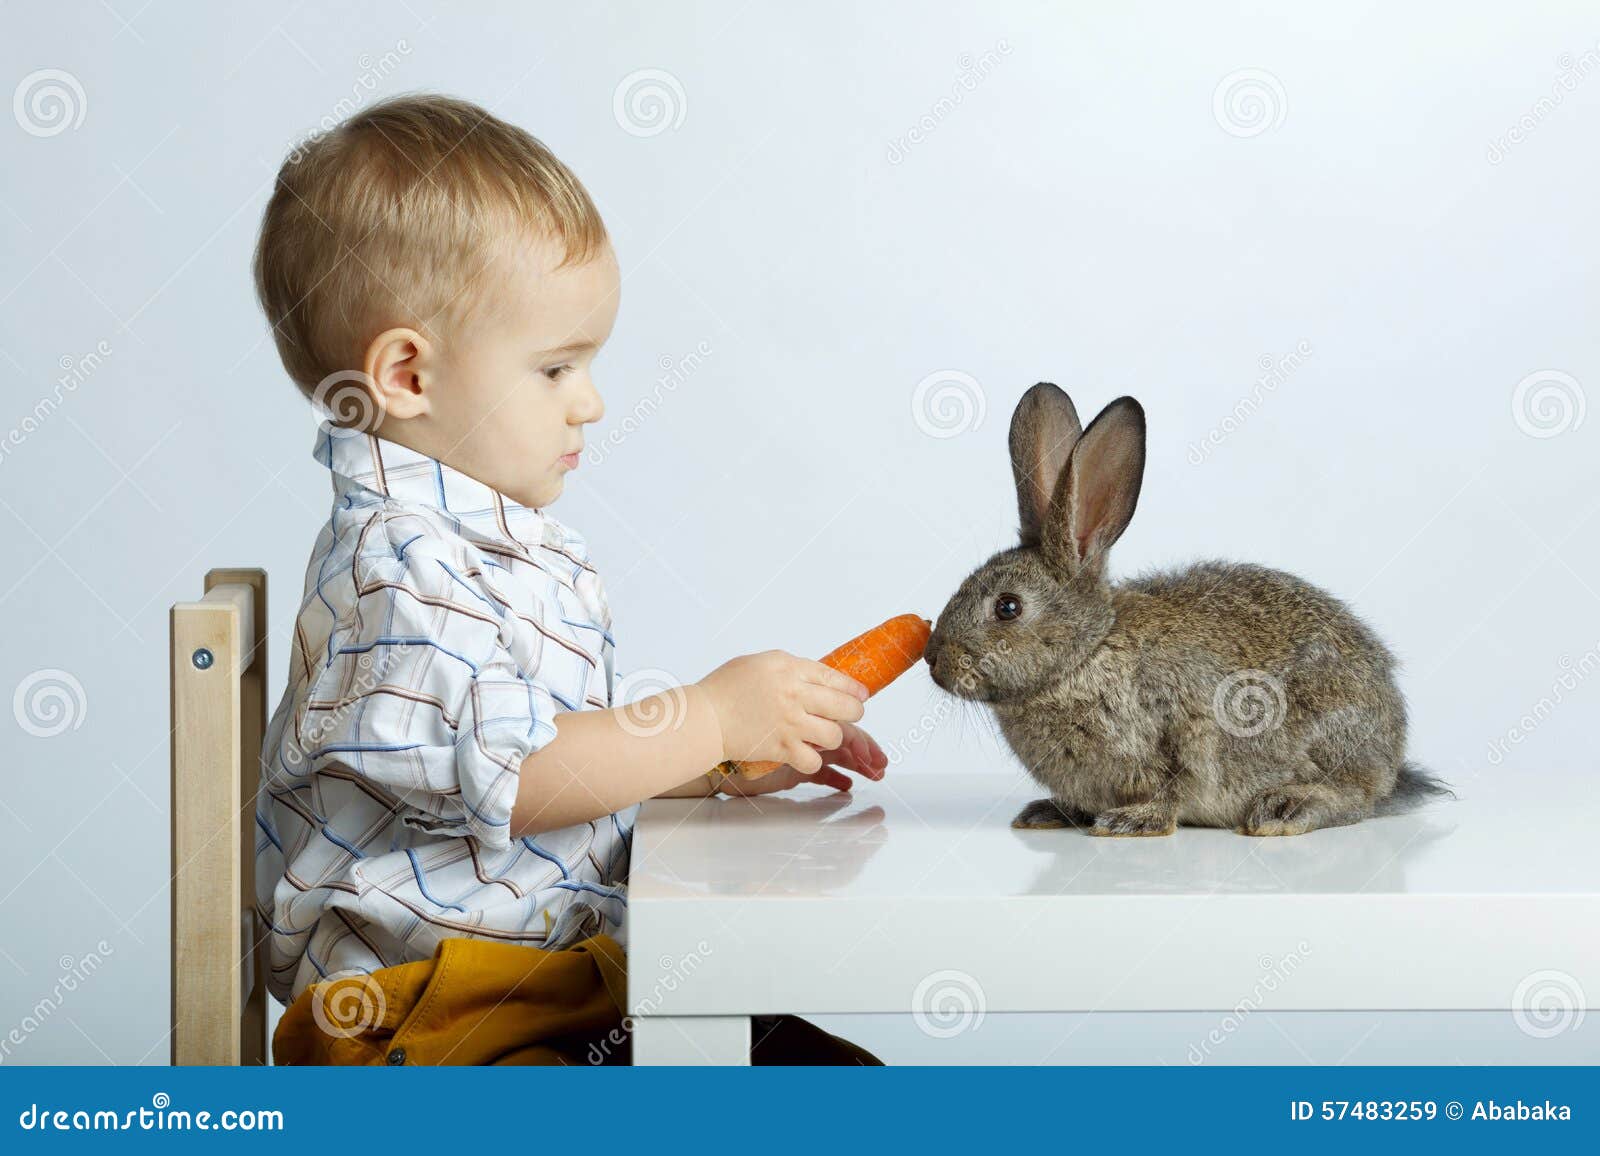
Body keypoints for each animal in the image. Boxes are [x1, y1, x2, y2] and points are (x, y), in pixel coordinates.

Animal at [924, 383, 1451, 837]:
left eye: (1007, 607)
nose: (933, 659)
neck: (1087, 653)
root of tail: (1392, 746)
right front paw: (1051, 811)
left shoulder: (1186, 731)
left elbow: (1176, 786)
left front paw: (1131, 822)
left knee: (1356, 798)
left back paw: (1285, 808)